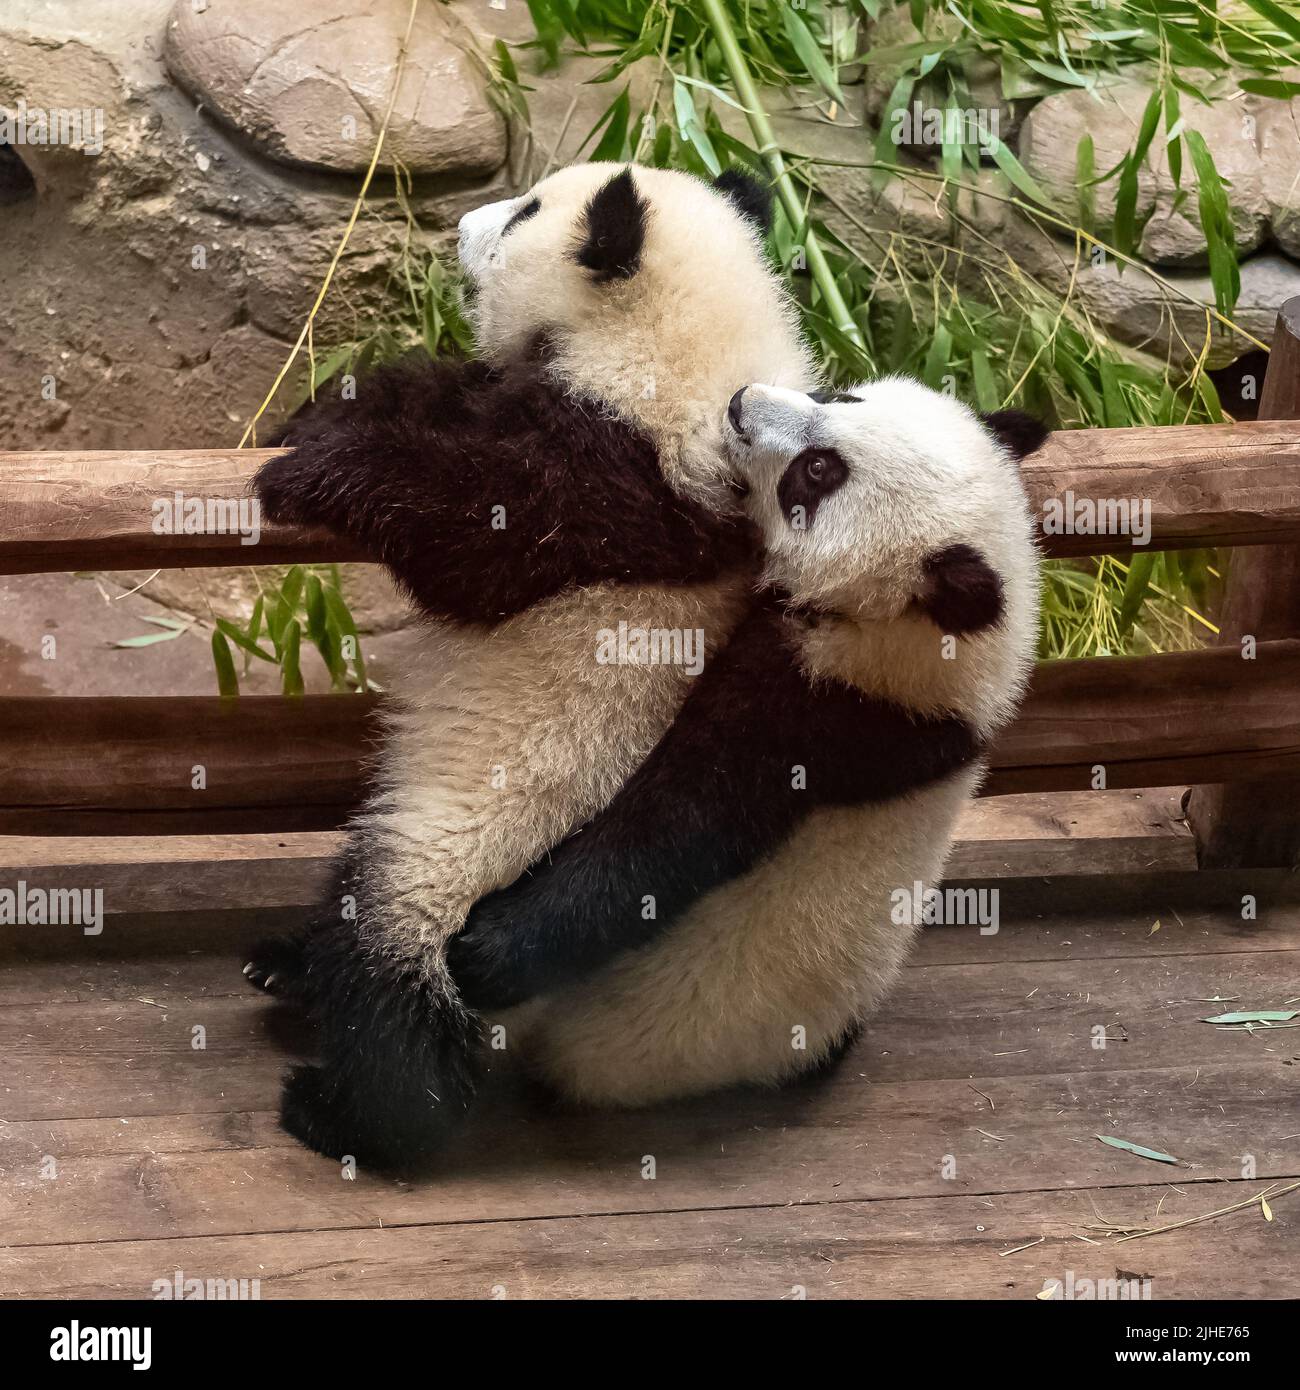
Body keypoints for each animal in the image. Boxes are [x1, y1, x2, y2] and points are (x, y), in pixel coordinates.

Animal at [244, 163, 817, 1166]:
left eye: (523, 213)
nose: (461, 228)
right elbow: (449, 392)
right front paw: (315, 408)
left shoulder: (626, 472)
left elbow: (477, 530)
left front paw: (311, 466)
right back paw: (283, 966)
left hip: (468, 861)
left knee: (390, 973)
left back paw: (346, 1112)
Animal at [446, 377, 1046, 1107]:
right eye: (847, 400)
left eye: (817, 473)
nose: (739, 403)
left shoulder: (827, 715)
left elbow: (673, 835)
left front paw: (482, 950)